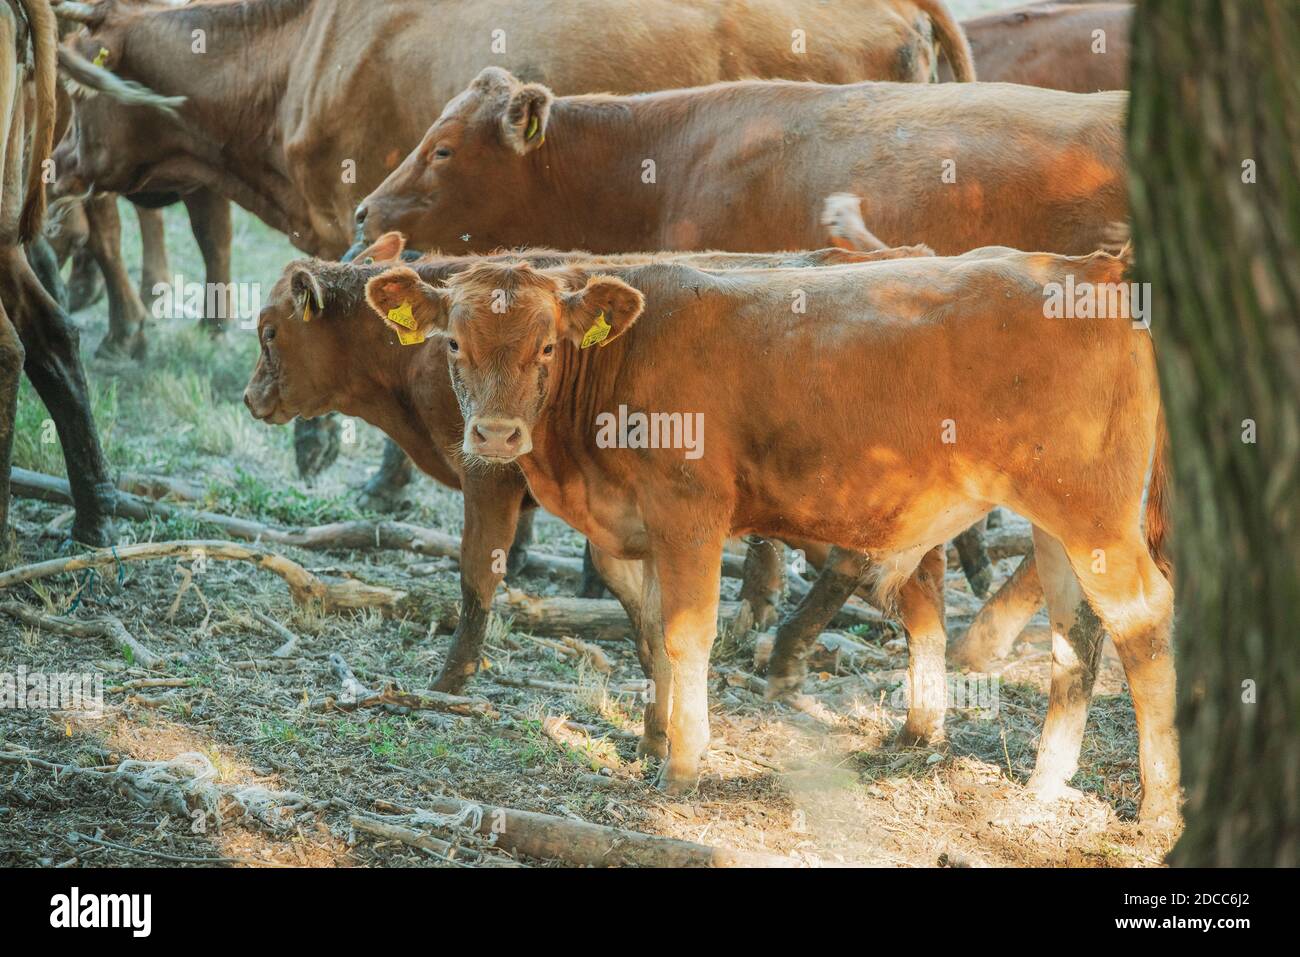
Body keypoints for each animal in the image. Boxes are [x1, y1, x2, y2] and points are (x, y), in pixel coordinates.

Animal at [243, 236, 918, 693]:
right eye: (455, 341)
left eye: (269, 330)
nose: (252, 398)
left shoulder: (486, 470)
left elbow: (478, 573)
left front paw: (451, 679)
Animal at [361, 253, 1178, 827]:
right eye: (454, 343)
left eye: (547, 348)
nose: (495, 435)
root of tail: (1091, 268)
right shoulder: (625, 534)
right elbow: (649, 633)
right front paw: (651, 740)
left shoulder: (690, 511)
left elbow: (687, 635)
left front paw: (685, 767)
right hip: (1056, 522)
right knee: (1076, 633)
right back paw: (1044, 783)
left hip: (1094, 513)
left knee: (1143, 618)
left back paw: (1157, 805)